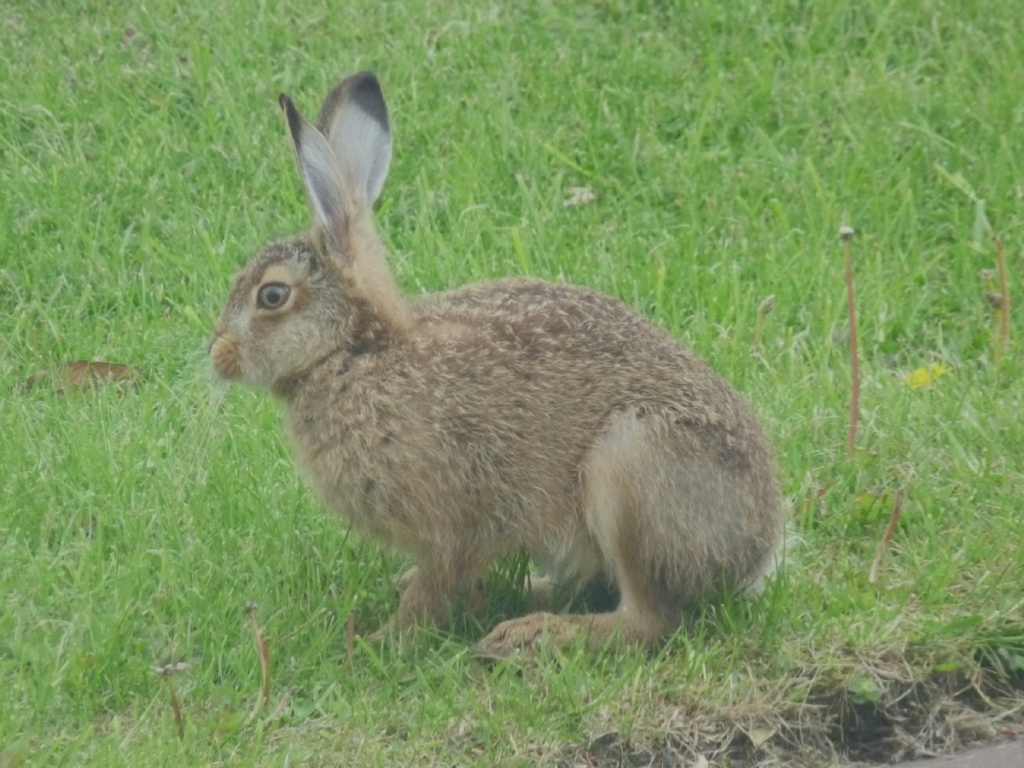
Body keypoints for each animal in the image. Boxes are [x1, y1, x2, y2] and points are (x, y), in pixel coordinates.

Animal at [208, 71, 785, 658]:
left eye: (272, 295)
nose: (217, 354)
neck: (358, 350)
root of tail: (756, 552)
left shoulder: (451, 522)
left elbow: (437, 584)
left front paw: (380, 642)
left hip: (630, 468)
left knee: (648, 620)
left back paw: (534, 633)